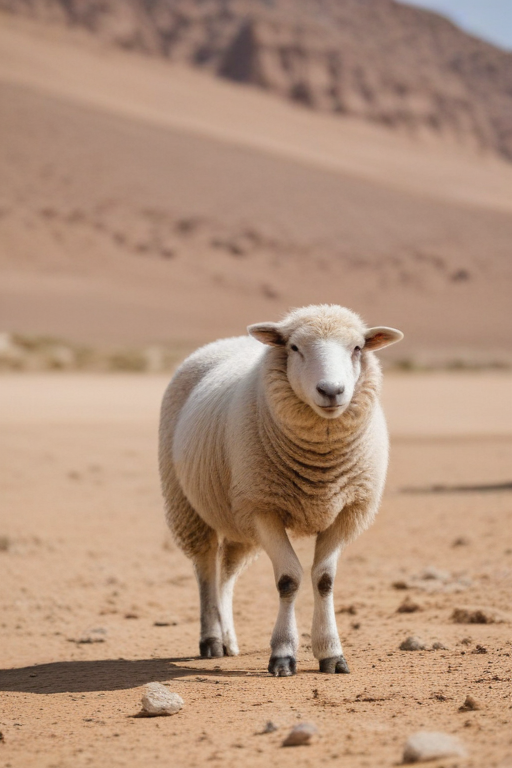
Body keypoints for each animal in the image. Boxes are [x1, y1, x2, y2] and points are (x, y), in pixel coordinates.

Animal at [159, 304, 403, 676]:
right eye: (294, 347)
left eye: (358, 348)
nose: (331, 390)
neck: (320, 467)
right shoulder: (264, 508)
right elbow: (289, 579)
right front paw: (284, 654)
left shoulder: (347, 511)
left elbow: (324, 579)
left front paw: (331, 654)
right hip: (188, 506)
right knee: (205, 570)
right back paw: (212, 639)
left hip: (238, 520)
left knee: (227, 575)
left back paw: (229, 640)